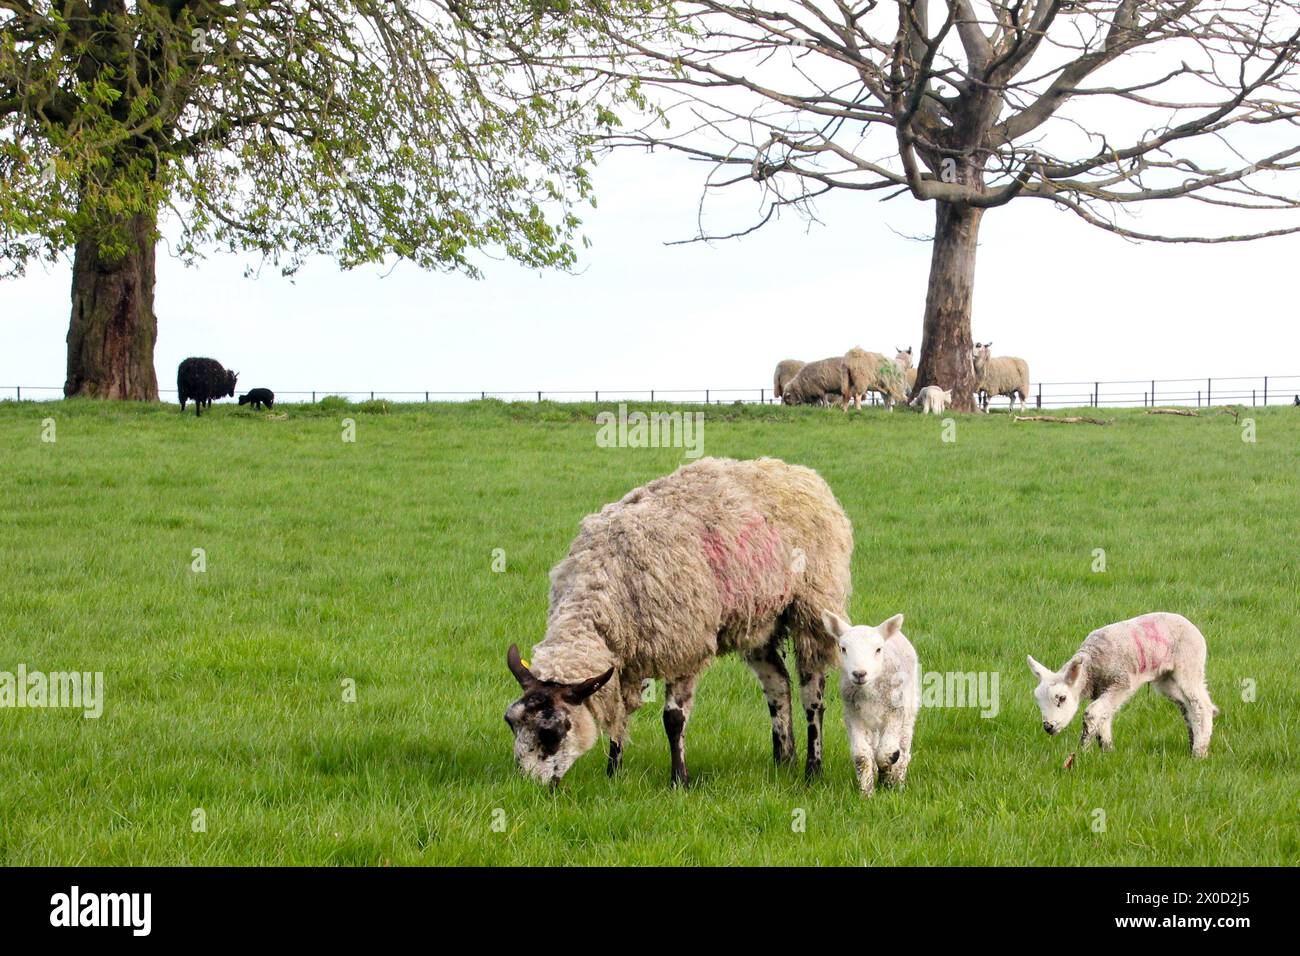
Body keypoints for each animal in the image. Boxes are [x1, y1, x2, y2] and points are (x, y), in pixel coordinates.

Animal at [504, 456, 853, 787]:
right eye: (511, 722)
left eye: (552, 731)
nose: (530, 787)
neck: (599, 588)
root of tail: (798, 472)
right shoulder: (624, 658)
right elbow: (620, 717)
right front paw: (613, 774)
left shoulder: (684, 646)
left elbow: (673, 720)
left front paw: (679, 781)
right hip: (760, 619)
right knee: (778, 685)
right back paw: (784, 760)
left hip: (813, 606)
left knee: (813, 694)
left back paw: (812, 770)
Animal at [822, 611, 919, 796]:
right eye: (843, 648)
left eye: (878, 649)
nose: (859, 673)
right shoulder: (853, 715)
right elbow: (862, 755)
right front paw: (867, 792)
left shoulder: (895, 712)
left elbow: (886, 753)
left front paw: (888, 778)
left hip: (909, 709)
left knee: (904, 749)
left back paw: (899, 780)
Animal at [1027, 612, 1218, 758]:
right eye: (1038, 702)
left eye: (1062, 698)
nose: (1048, 727)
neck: (1091, 663)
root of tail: (1192, 626)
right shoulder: (1102, 689)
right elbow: (1104, 714)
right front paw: (1107, 750)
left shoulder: (1121, 683)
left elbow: (1093, 712)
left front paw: (1082, 752)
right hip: (1166, 679)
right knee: (1187, 706)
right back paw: (1193, 743)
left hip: (1189, 664)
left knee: (1201, 705)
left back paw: (1199, 752)